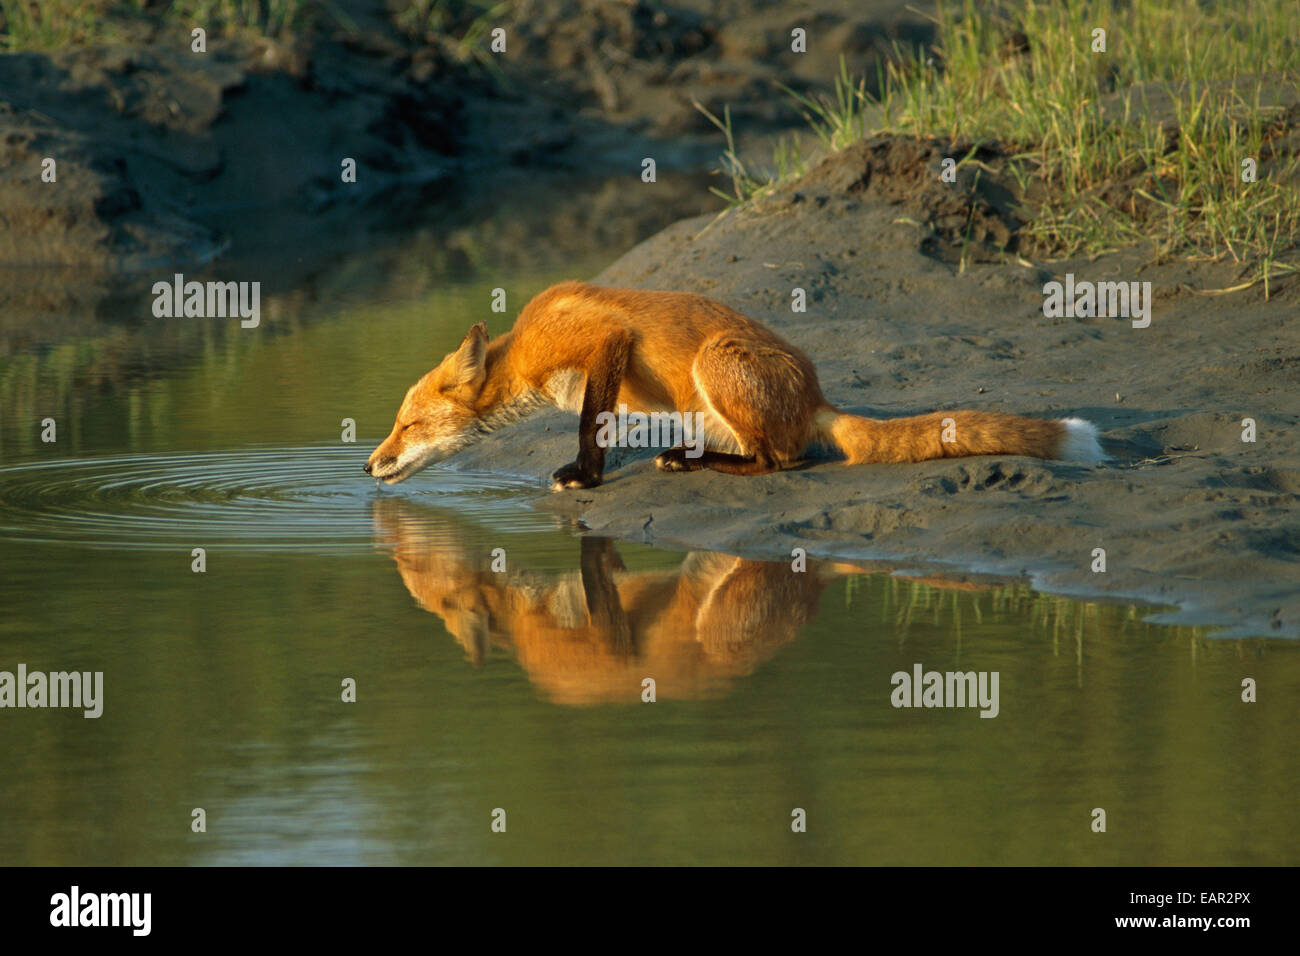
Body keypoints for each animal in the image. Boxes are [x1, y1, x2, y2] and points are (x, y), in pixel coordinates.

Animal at [364, 281, 1104, 489]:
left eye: (406, 425)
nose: (369, 464)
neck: (525, 356)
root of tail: (816, 395)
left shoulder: (605, 341)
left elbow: (590, 424)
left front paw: (586, 476)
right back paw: (689, 457)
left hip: (714, 363)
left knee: (780, 460)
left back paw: (709, 466)